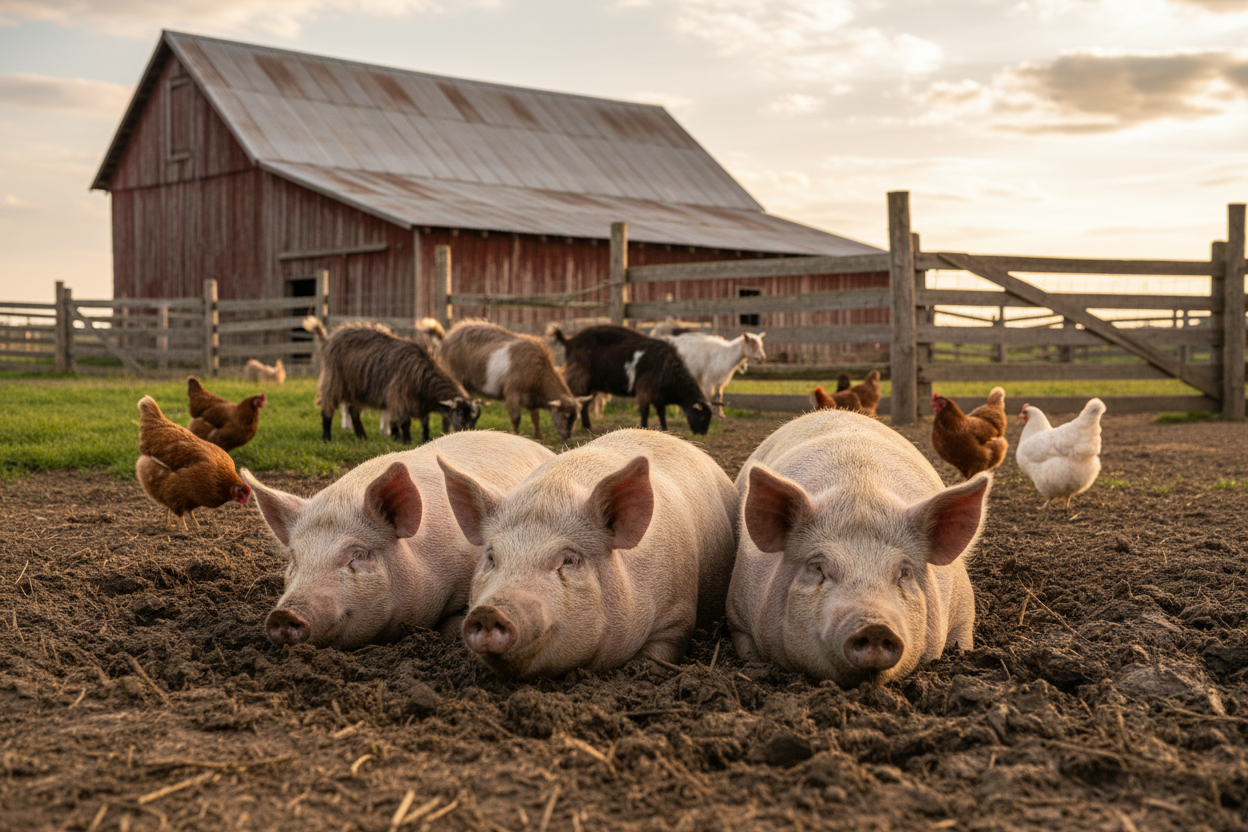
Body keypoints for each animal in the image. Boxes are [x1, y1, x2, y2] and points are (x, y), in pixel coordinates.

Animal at [303, 317, 480, 443]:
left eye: (474, 420)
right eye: (461, 414)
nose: (468, 436)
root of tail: (328, 339)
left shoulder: (418, 403)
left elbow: (424, 422)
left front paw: (423, 438)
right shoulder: (399, 395)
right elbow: (405, 421)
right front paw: (406, 440)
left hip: (358, 387)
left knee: (353, 411)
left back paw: (362, 436)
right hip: (334, 379)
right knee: (328, 407)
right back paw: (327, 437)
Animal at [430, 319, 588, 441]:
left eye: (576, 418)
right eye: (564, 416)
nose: (567, 436)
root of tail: (445, 339)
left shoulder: (531, 397)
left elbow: (535, 416)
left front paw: (539, 435)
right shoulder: (513, 392)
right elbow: (516, 418)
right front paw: (517, 436)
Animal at [551, 324, 713, 435]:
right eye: (701, 417)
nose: (702, 433)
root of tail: (569, 341)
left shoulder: (658, 394)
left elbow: (661, 412)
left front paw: (664, 429)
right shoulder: (646, 389)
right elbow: (645, 410)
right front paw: (644, 427)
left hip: (590, 382)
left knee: (584, 402)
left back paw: (588, 426)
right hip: (580, 377)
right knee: (578, 400)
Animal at [727, 409, 991, 687]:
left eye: (904, 573)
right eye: (817, 567)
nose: (874, 627)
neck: (860, 489)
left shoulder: (964, 616)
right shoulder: (737, 618)